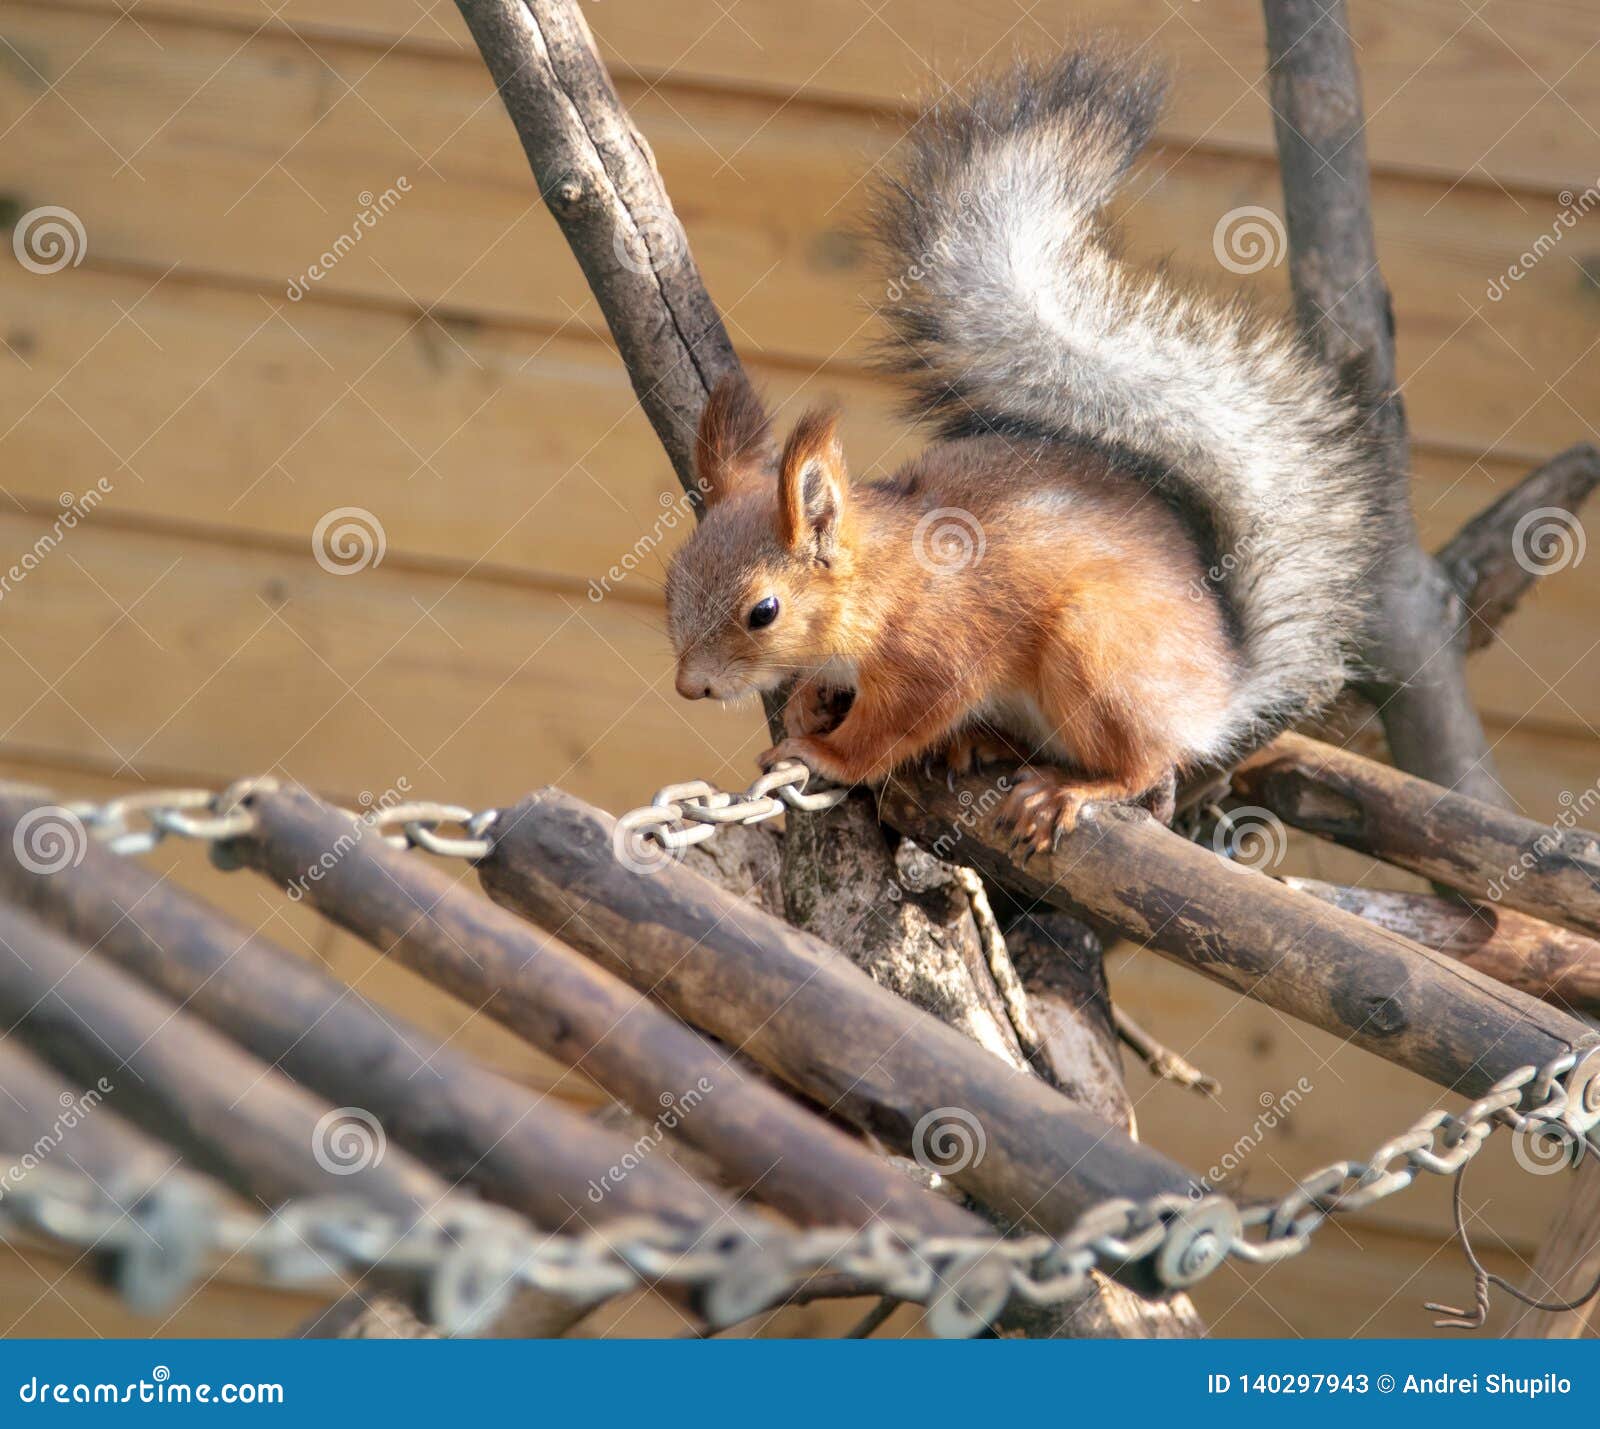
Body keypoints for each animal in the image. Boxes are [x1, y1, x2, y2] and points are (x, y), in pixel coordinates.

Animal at [663, 44, 1394, 852]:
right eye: (674, 577)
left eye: (763, 611)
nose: (690, 686)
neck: (882, 579)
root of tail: (1221, 688)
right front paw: (809, 700)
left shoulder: (937, 649)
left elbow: (895, 727)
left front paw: (825, 750)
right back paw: (983, 744)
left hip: (1095, 651)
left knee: (1147, 768)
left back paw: (1069, 790)